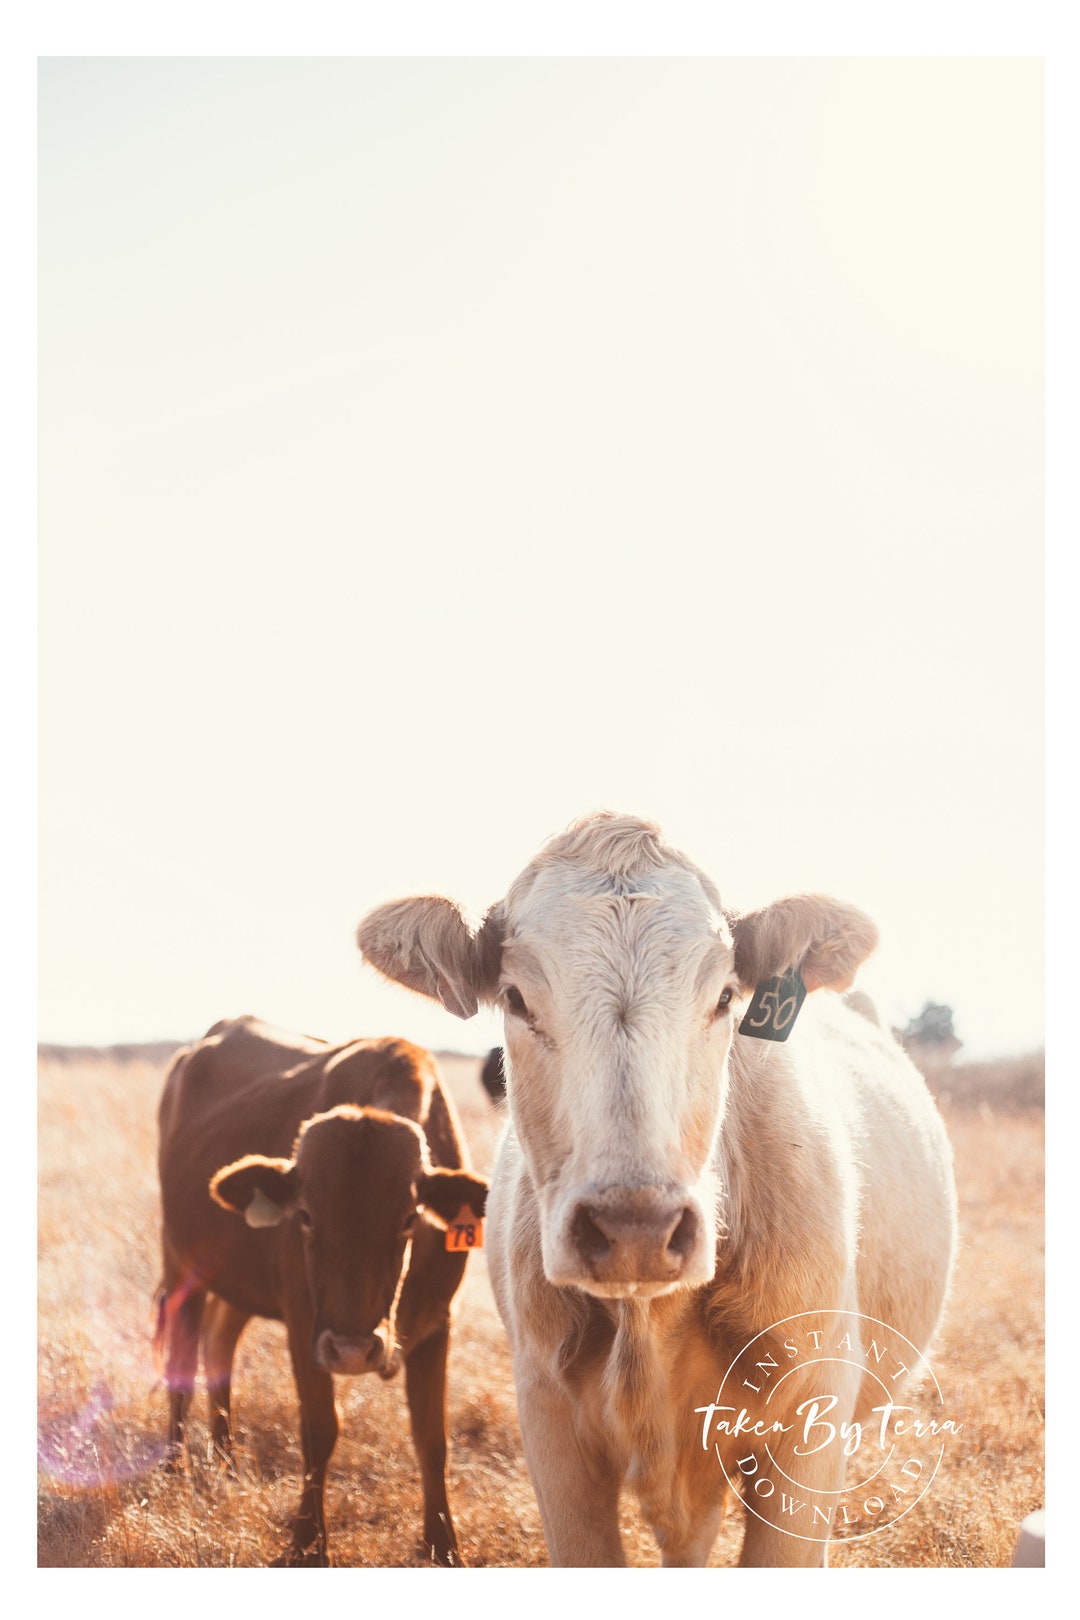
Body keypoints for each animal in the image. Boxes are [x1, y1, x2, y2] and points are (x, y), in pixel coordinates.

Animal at [156, 1015, 488, 1567]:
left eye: (408, 1218)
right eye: (307, 1215)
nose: (352, 1350)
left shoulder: (439, 1323)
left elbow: (431, 1436)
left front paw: (442, 1544)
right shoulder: (304, 1325)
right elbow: (319, 1429)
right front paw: (308, 1541)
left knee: (219, 1345)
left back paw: (226, 1461)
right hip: (182, 1265)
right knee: (182, 1361)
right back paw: (174, 1466)